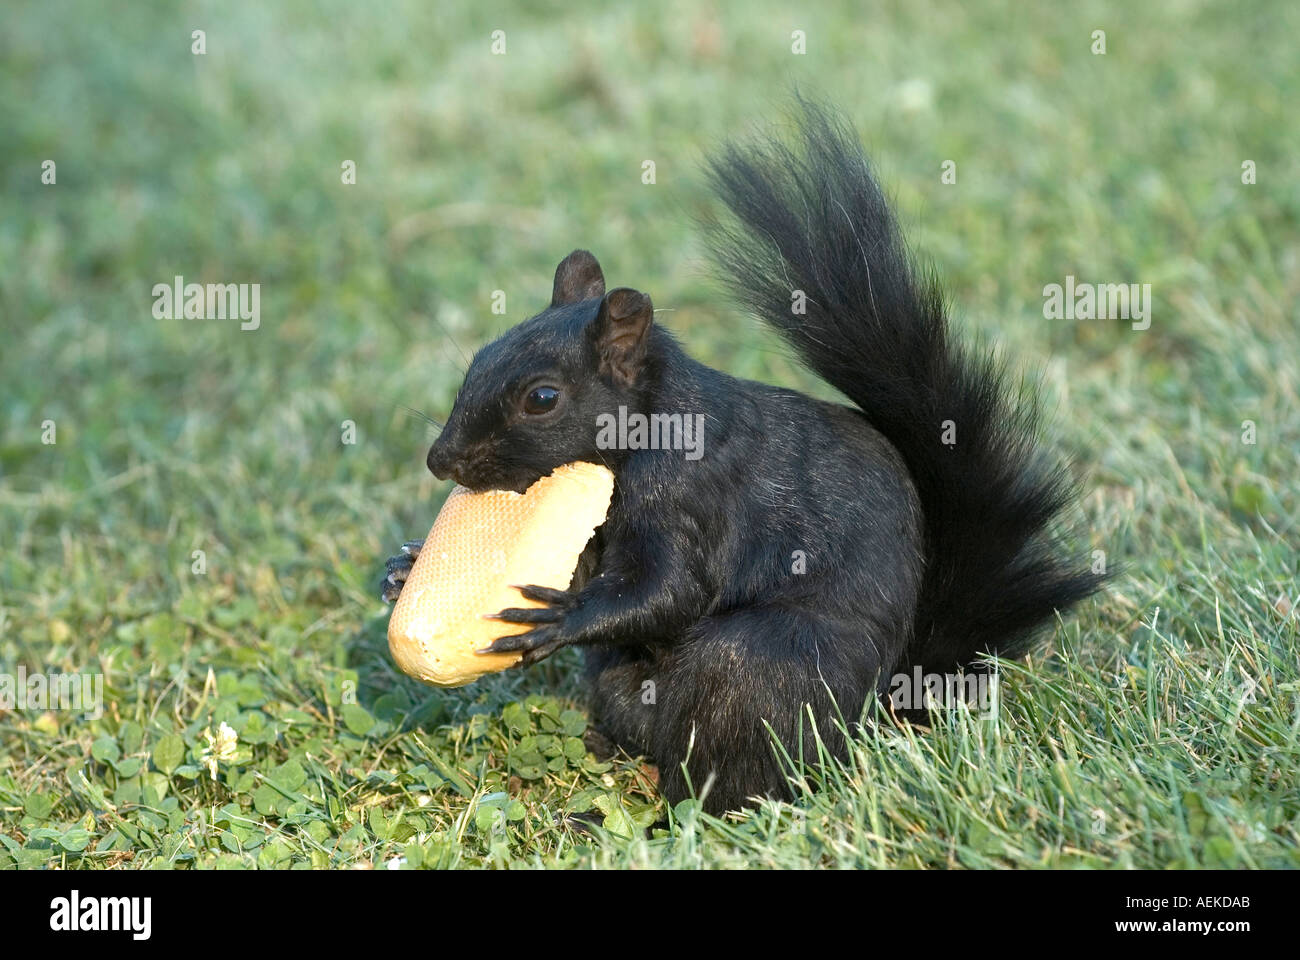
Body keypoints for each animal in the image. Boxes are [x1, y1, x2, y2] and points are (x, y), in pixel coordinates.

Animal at [381, 100, 1104, 815]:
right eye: (478, 358)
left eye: (542, 398)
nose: (441, 460)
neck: (654, 425)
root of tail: (879, 713)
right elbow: (597, 569)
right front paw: (404, 568)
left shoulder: (695, 493)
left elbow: (672, 588)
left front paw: (561, 616)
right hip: (627, 684)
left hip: (757, 666)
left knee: (730, 773)